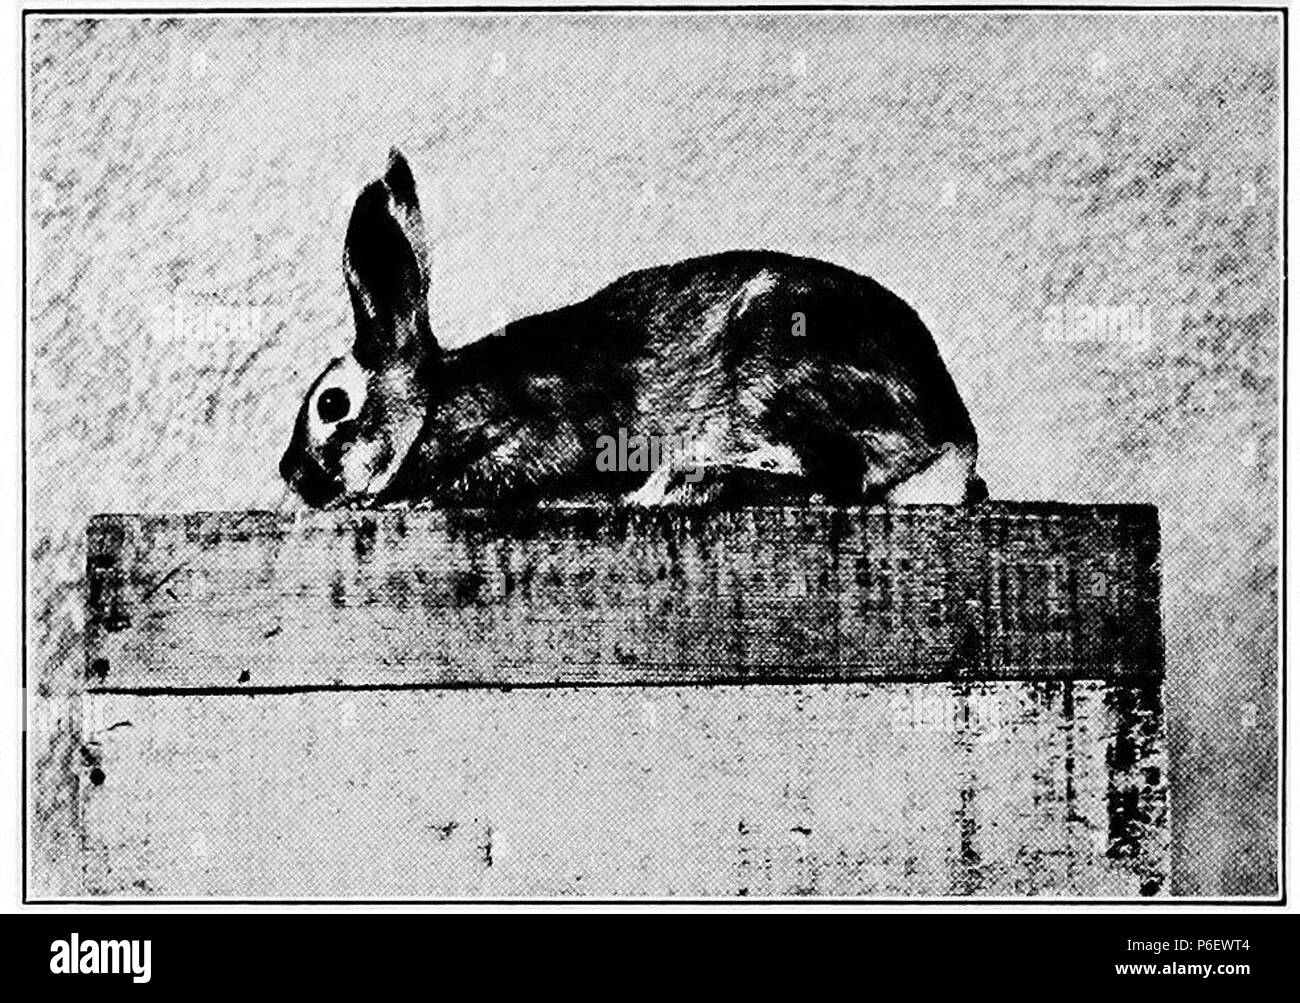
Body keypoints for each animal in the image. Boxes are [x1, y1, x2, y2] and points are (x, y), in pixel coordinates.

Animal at [280, 149, 986, 509]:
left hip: (779, 367)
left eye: (331, 403)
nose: (291, 475)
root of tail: (952, 435)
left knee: (837, 474)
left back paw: (688, 485)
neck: (433, 405)